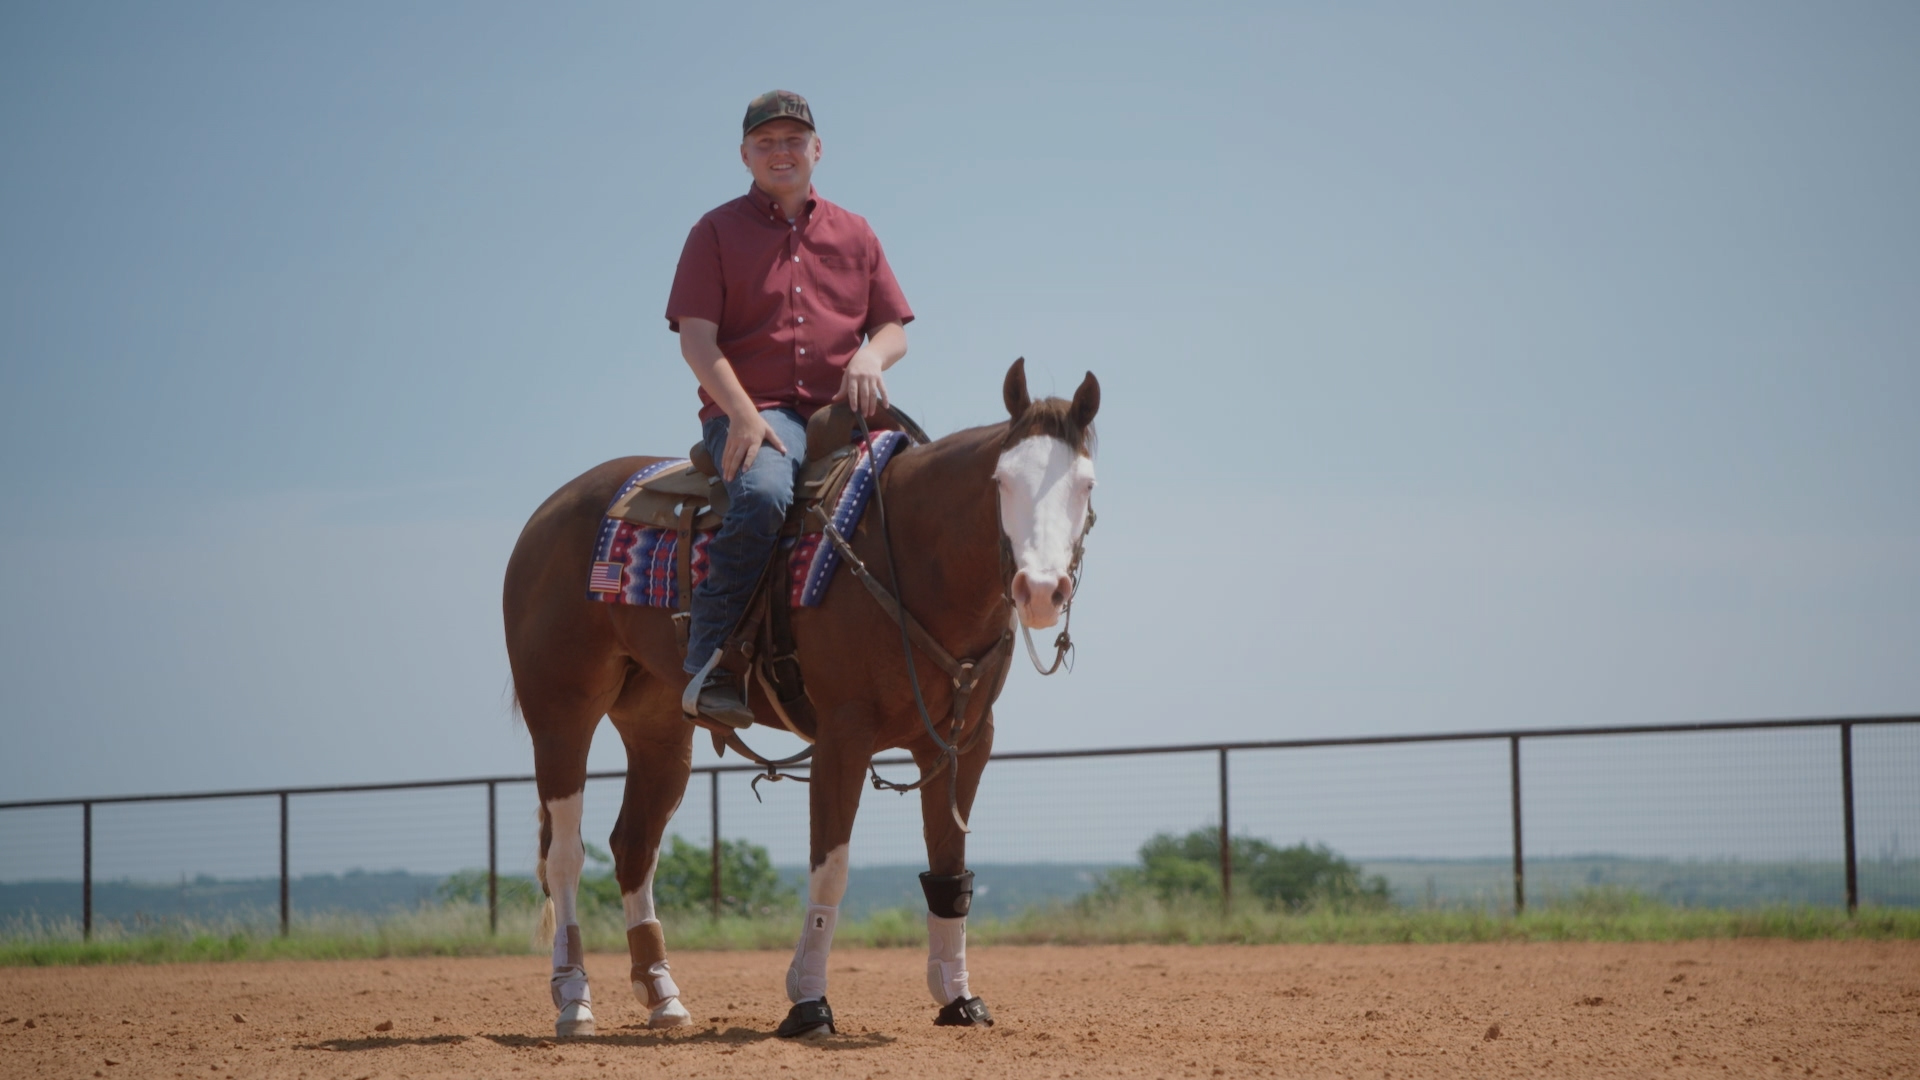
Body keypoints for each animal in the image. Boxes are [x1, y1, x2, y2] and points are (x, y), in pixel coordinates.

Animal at [501, 358, 1099, 1038]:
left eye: (1085, 484)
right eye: (1002, 480)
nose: (1040, 591)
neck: (906, 553)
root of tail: (547, 515)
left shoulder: (962, 743)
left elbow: (950, 874)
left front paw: (958, 998)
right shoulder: (843, 736)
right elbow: (830, 871)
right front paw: (809, 1001)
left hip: (658, 731)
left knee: (634, 848)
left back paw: (662, 995)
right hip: (561, 713)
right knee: (564, 857)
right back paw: (574, 999)